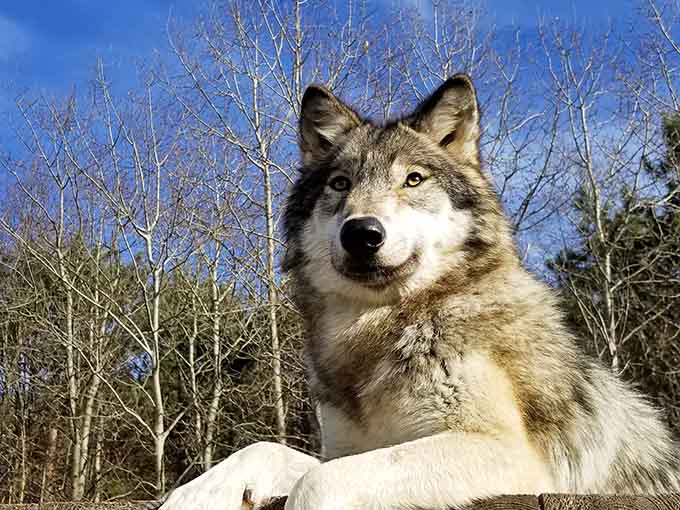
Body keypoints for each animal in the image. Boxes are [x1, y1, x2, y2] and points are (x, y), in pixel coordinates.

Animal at [161, 75, 680, 510]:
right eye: (340, 184)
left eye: (413, 179)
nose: (361, 233)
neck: (382, 328)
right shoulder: (351, 448)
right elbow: (268, 448)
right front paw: (194, 493)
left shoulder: (509, 452)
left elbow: (316, 483)